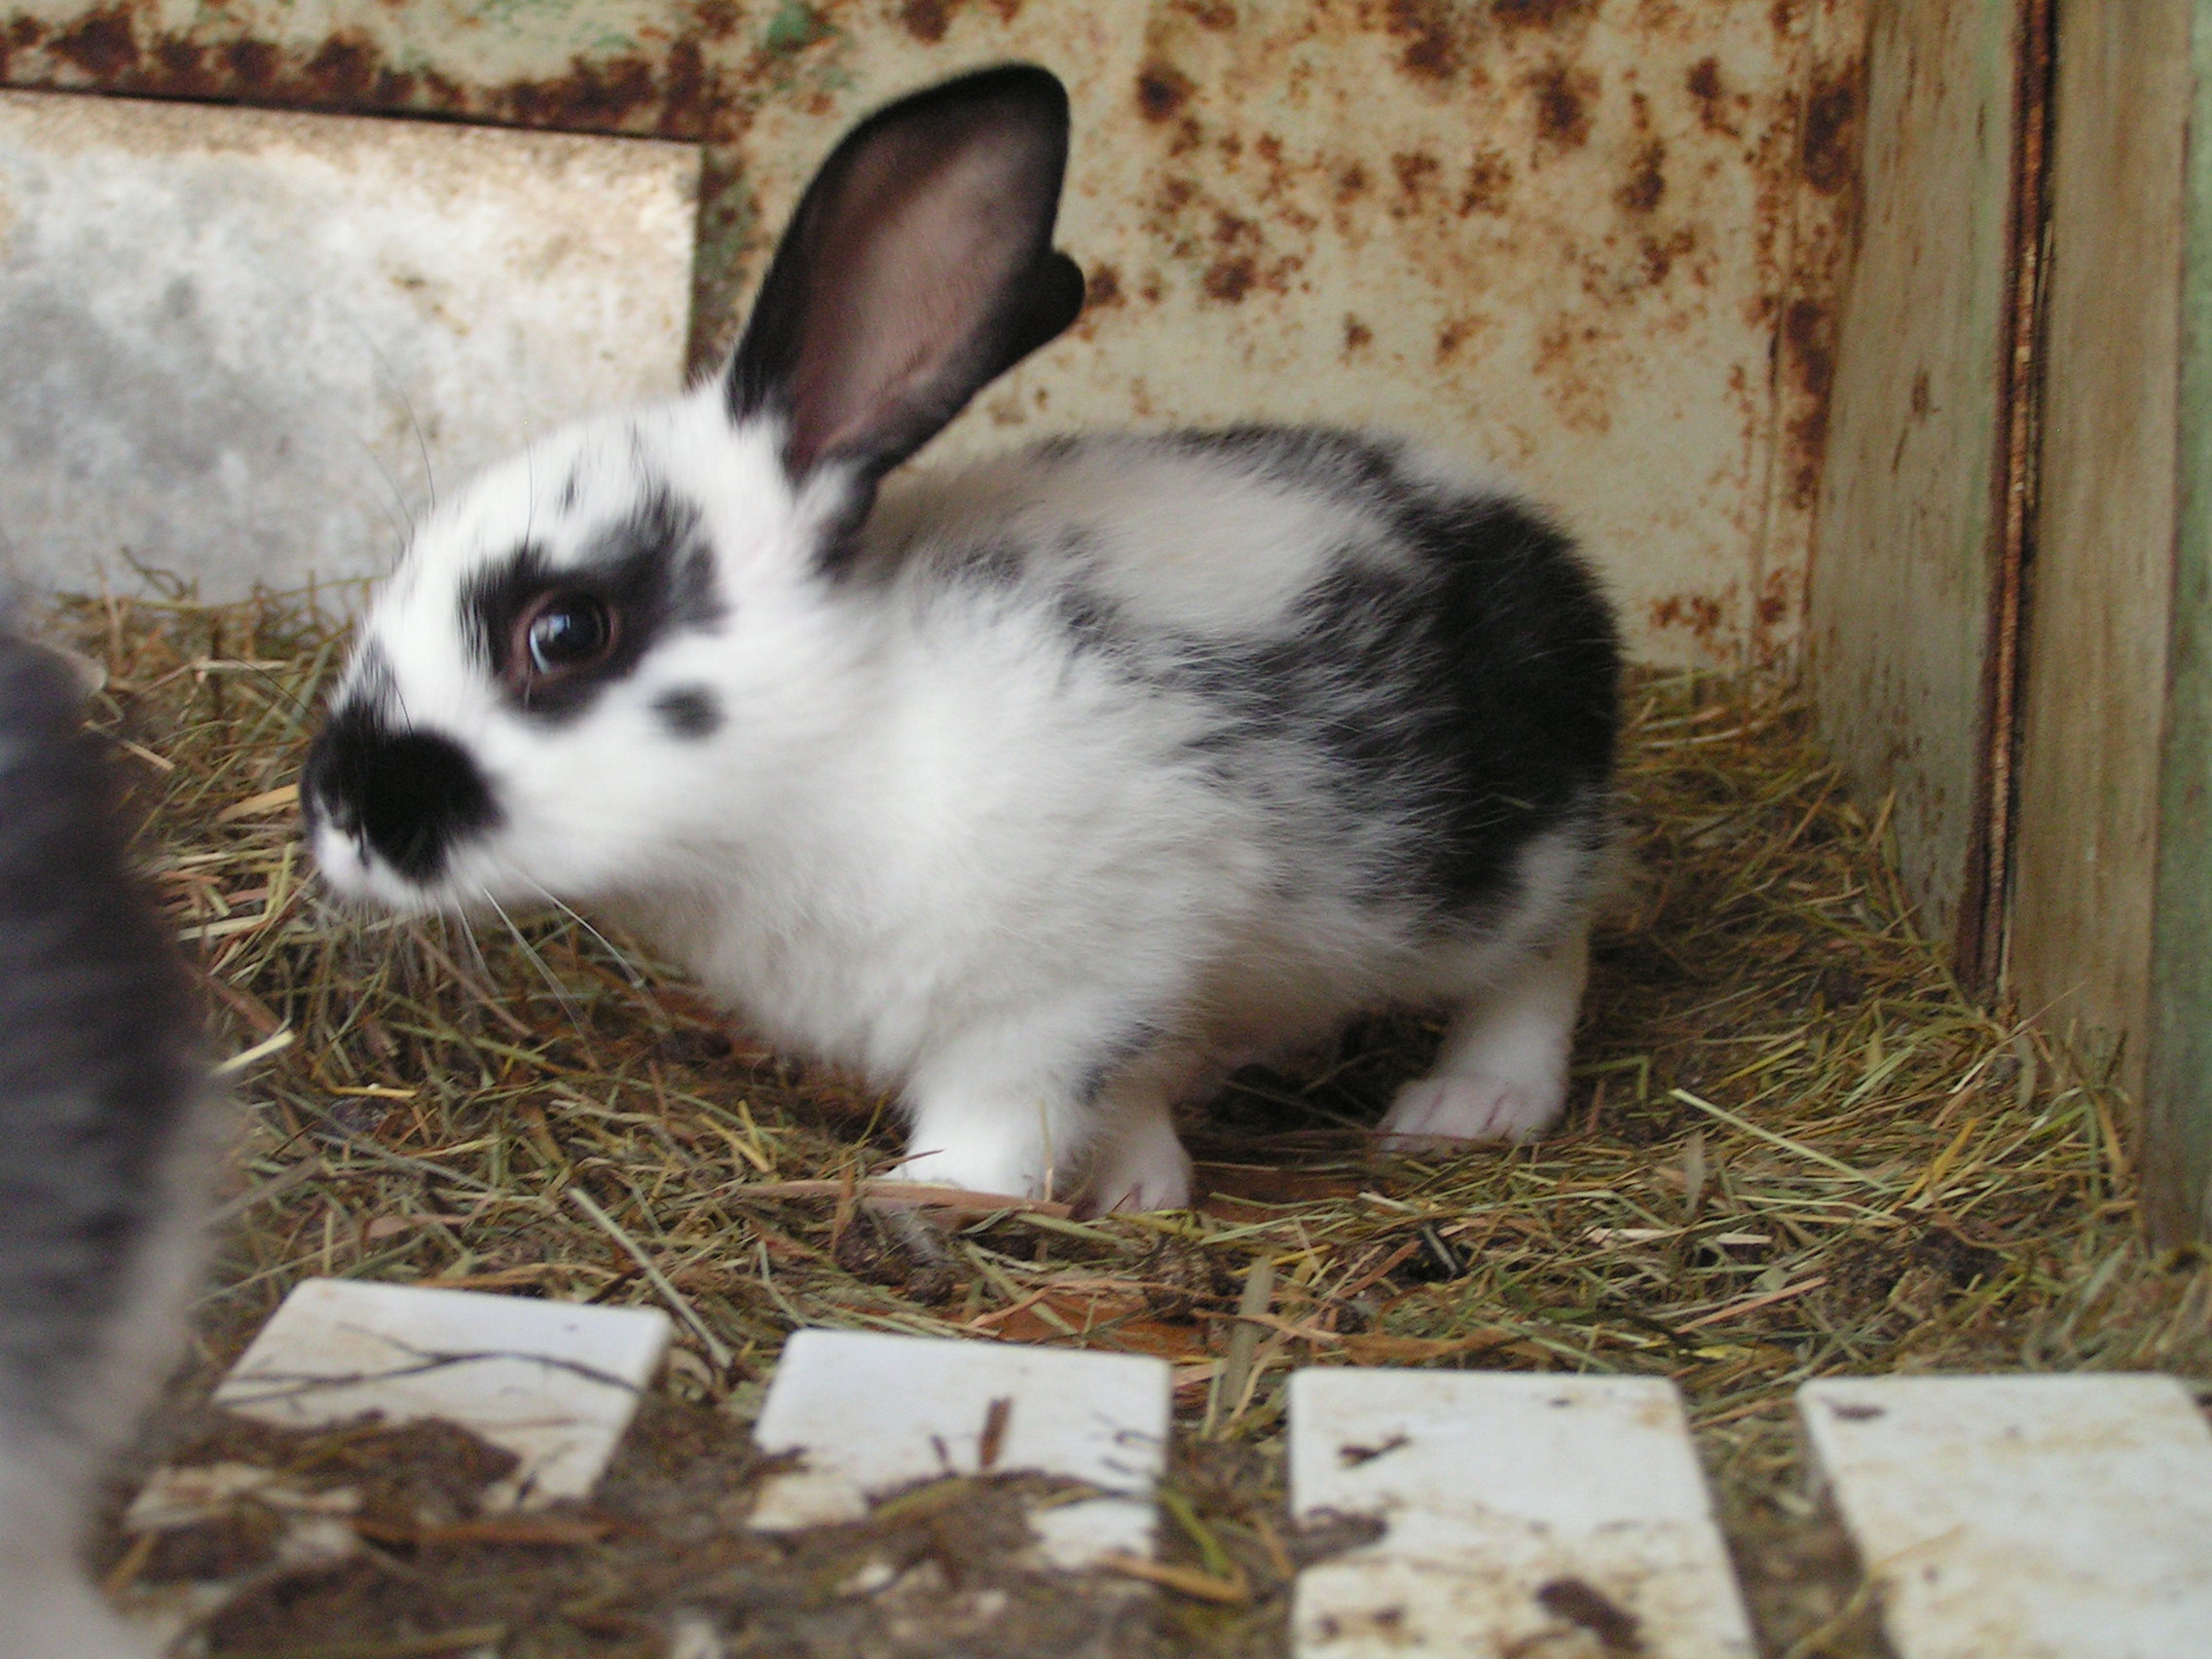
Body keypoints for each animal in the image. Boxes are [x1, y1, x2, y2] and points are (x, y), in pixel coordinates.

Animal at [301, 63, 1620, 1214]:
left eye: (565, 630)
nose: (340, 814)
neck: (845, 746)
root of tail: (1551, 554)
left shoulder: (1063, 985)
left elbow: (1005, 1116)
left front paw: (928, 1192)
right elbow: (1125, 1095)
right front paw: (1141, 1185)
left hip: (1503, 869)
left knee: (1545, 960)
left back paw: (1469, 1103)